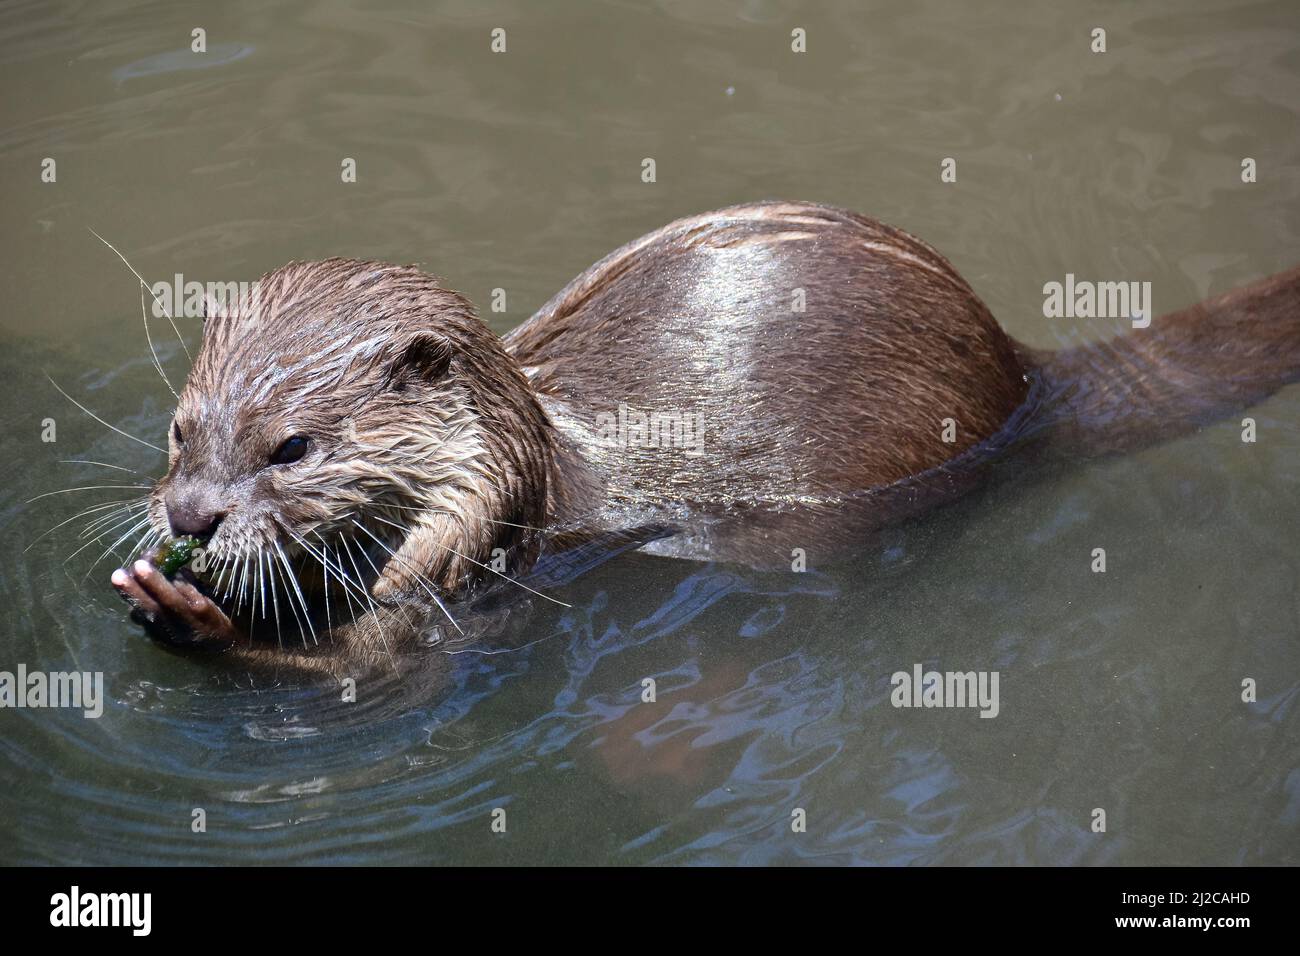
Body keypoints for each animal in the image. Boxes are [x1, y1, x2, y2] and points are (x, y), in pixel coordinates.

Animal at [109, 201, 1300, 673]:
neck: (535, 458)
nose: (191, 514)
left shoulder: (477, 552)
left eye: (292, 448)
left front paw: (190, 614)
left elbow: (365, 667)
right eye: (178, 432)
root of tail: (1022, 375)